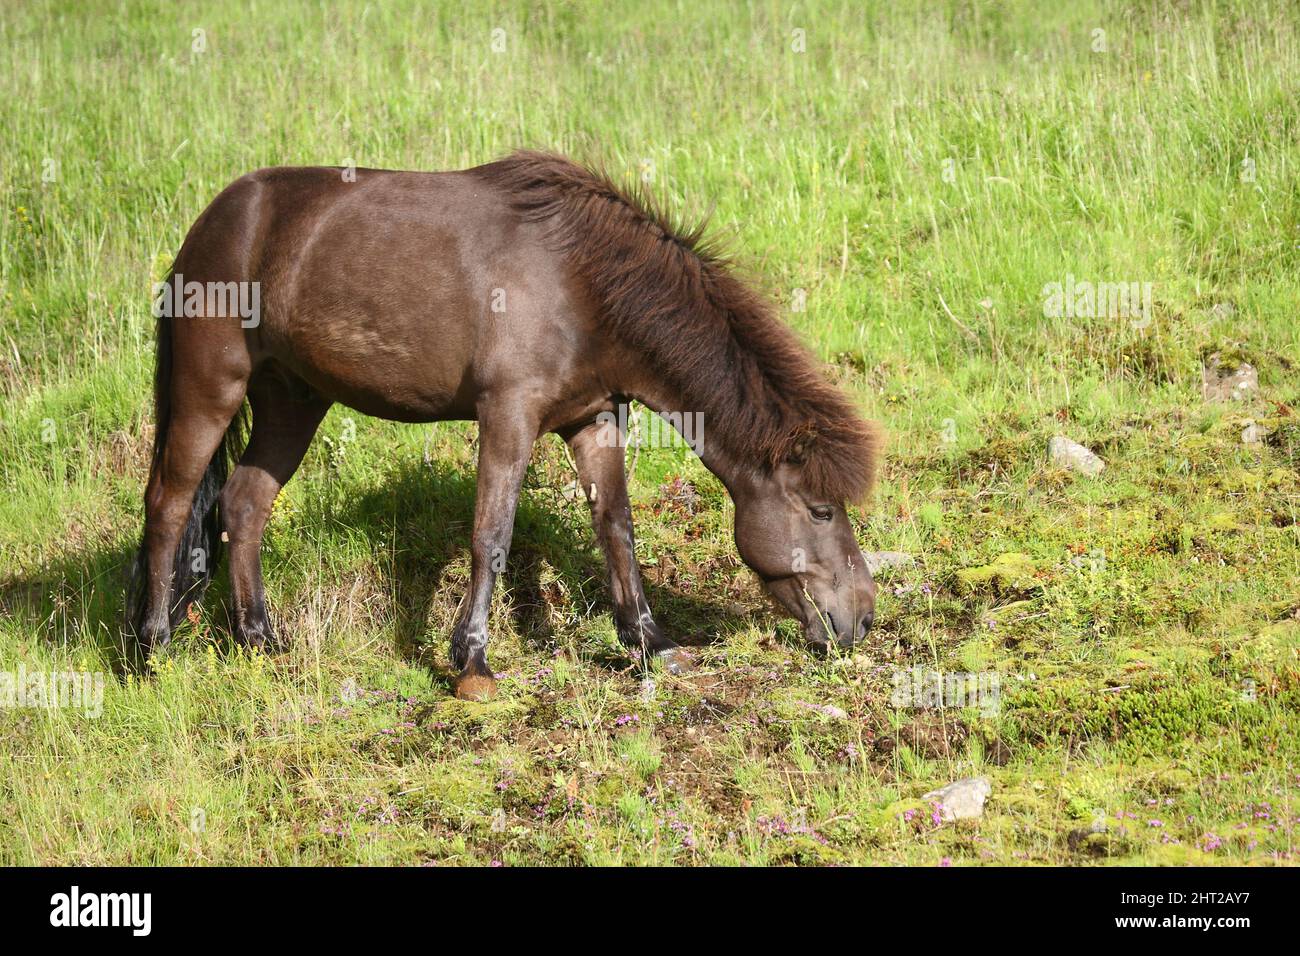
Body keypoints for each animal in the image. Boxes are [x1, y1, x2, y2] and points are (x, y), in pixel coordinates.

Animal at [128, 151, 881, 701]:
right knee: (169, 504)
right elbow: (491, 535)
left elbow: (616, 529)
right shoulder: (507, 416)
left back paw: (261, 640)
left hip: (294, 402)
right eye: (820, 509)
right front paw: (472, 664)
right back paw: (151, 650)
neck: (582, 282)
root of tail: (208, 227)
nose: (863, 616)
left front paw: (651, 643)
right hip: (209, 390)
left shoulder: (595, 420)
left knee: (243, 503)